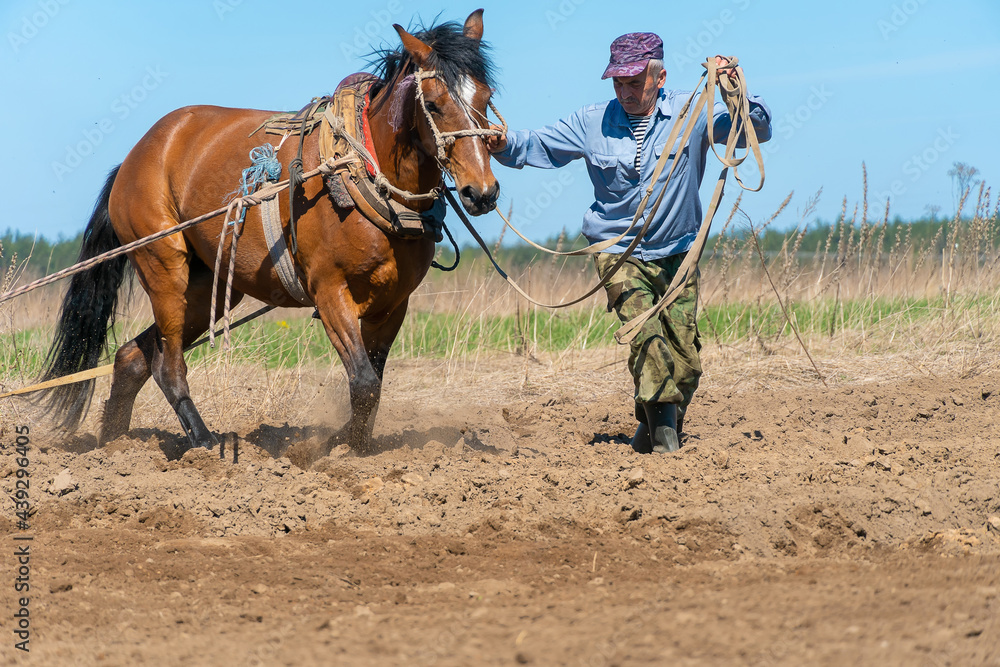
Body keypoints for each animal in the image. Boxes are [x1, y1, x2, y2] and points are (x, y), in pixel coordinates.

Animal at [38, 11, 500, 454]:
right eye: (434, 104)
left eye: (486, 98)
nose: (481, 192)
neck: (363, 171)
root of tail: (134, 157)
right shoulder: (330, 292)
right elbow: (365, 383)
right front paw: (339, 450)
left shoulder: (393, 304)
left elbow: (373, 384)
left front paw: (352, 443)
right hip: (163, 266)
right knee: (167, 365)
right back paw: (202, 443)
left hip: (208, 288)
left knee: (133, 357)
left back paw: (113, 446)